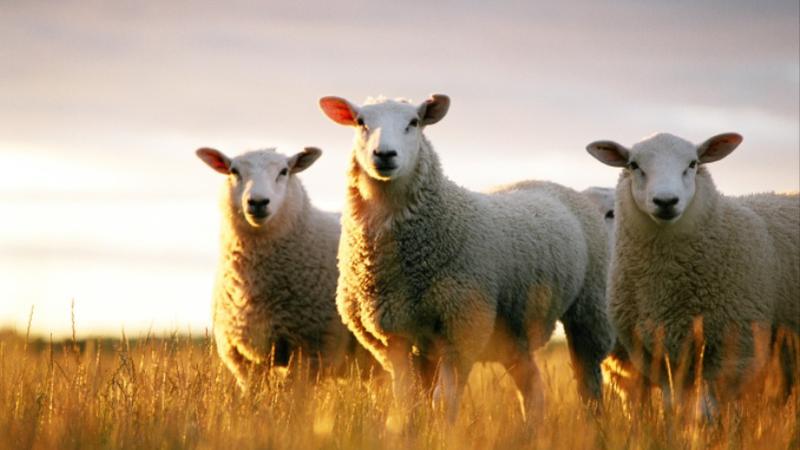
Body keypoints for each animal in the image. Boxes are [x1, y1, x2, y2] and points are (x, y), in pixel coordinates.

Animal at [319, 94, 614, 423]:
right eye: (361, 122)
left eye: (414, 122)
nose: (384, 155)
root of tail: (546, 181)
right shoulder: (392, 338)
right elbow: (406, 401)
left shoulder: (461, 330)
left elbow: (443, 402)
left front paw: (442, 430)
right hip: (513, 332)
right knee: (534, 390)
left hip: (588, 309)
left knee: (589, 383)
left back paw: (594, 424)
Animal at [586, 132, 800, 416]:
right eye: (633, 165)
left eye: (693, 163)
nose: (666, 201)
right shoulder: (655, 357)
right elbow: (673, 408)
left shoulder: (736, 351)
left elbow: (718, 412)